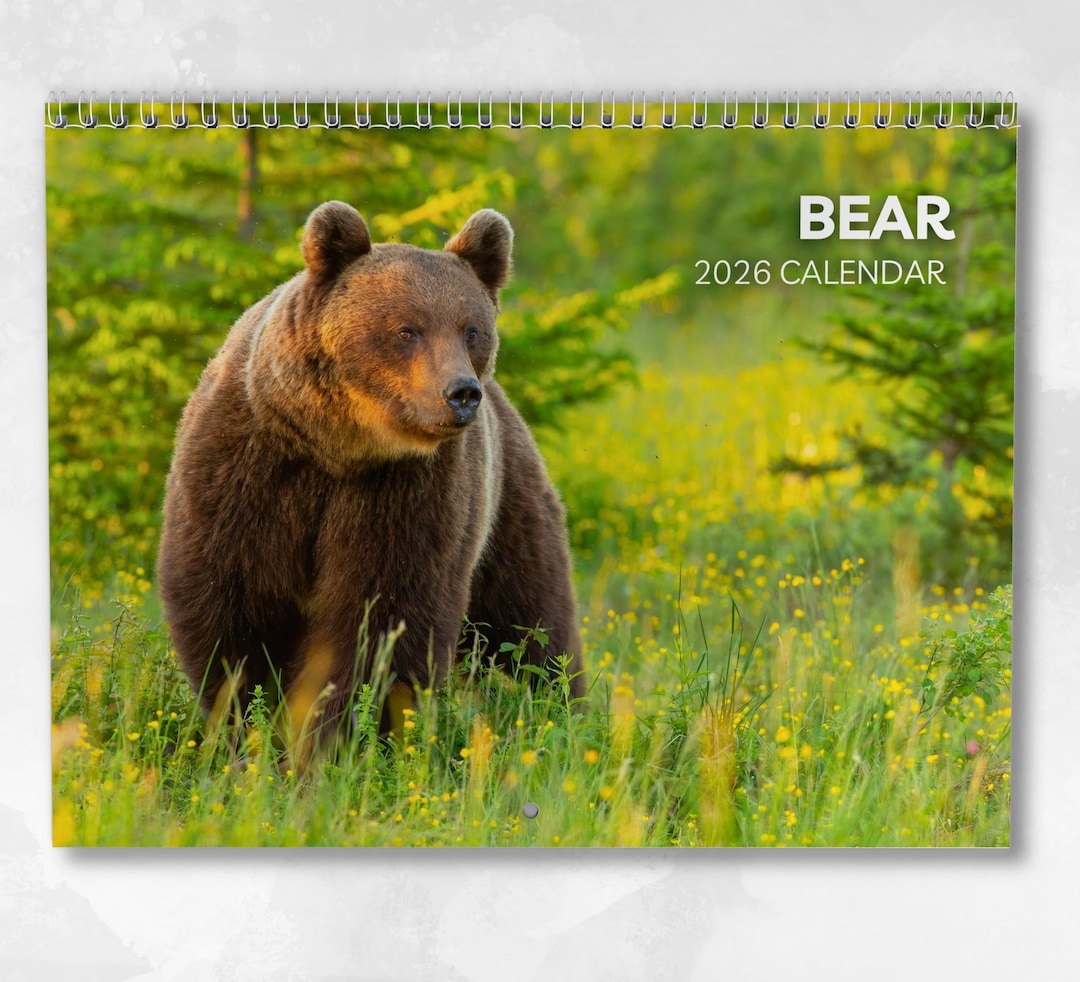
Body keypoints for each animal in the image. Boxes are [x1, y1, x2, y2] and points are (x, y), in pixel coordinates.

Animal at [157, 201, 583, 756]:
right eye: (407, 329)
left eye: (471, 329)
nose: (462, 393)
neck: (337, 447)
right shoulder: (248, 469)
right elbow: (228, 603)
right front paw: (245, 730)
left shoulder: (407, 493)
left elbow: (381, 617)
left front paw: (330, 738)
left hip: (507, 508)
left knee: (533, 624)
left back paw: (569, 713)